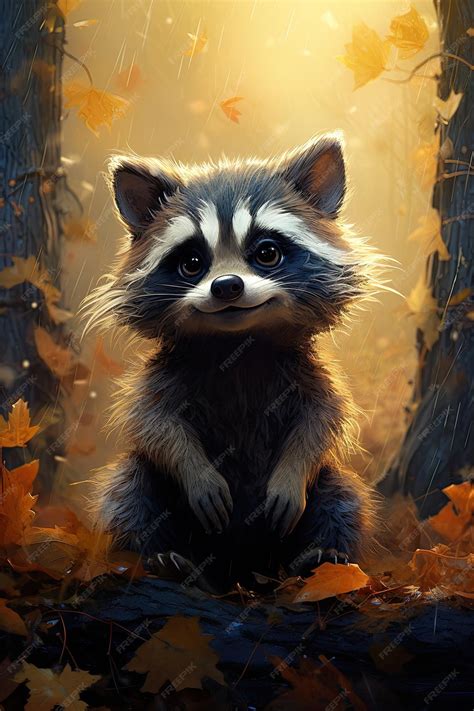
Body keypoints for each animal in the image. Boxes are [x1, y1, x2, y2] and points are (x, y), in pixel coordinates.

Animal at [85, 133, 380, 591]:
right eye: (192, 263)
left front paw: (292, 474)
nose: (226, 286)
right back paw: (167, 561)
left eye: (267, 253)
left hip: (318, 505)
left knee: (345, 497)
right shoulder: (166, 373)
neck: (236, 344)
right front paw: (198, 474)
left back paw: (318, 558)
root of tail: (241, 570)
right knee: (128, 488)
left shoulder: (309, 372)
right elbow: (153, 423)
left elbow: (322, 421)